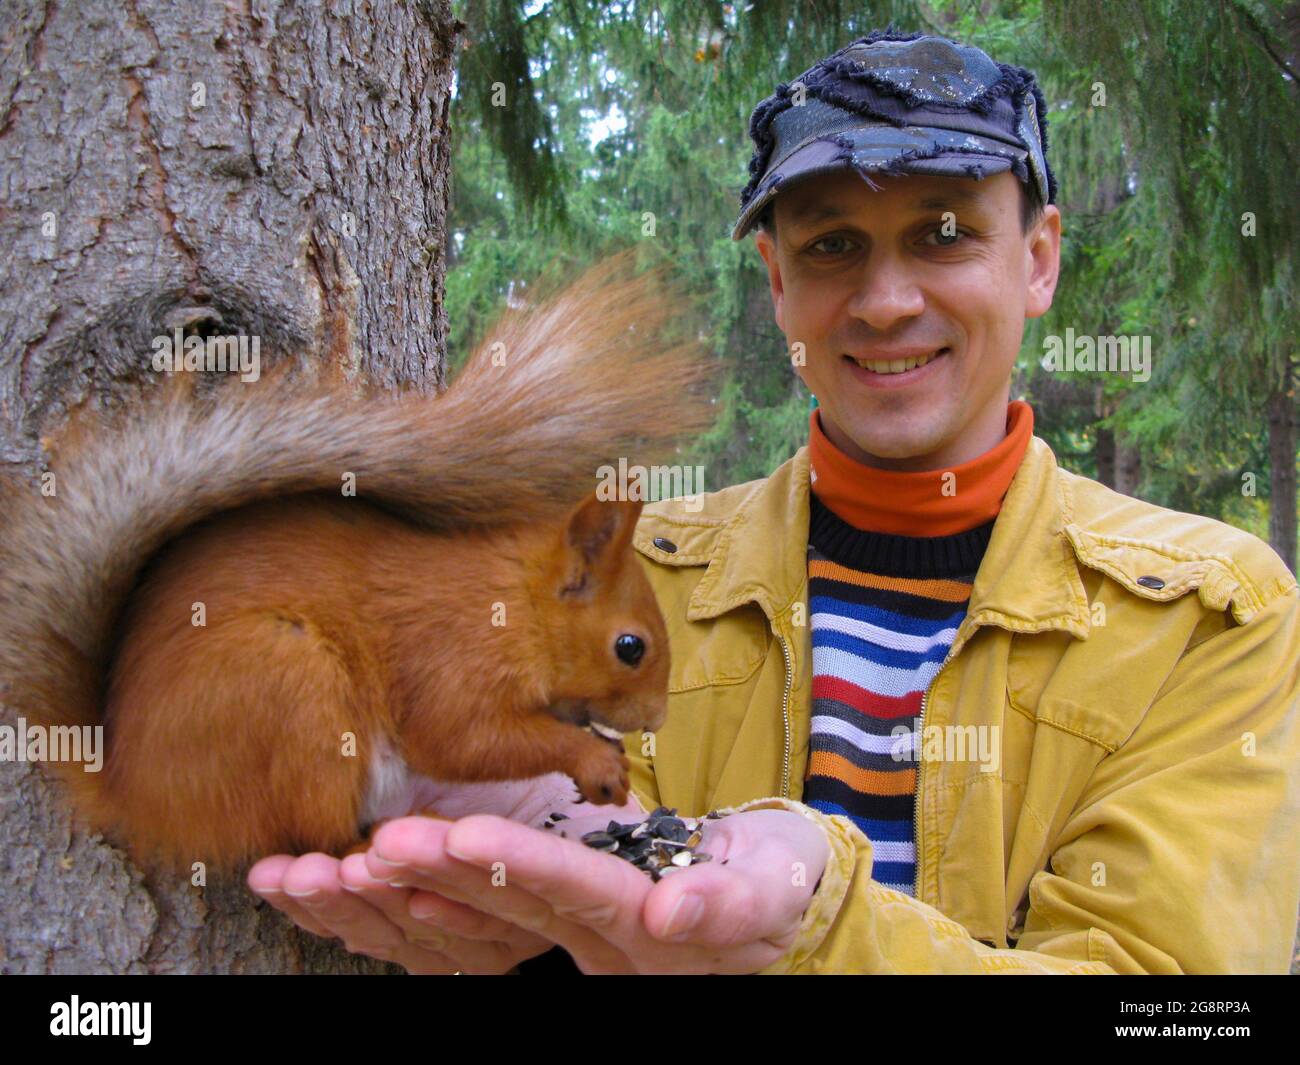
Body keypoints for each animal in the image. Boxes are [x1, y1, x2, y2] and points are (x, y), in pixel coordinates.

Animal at [0, 255, 716, 872]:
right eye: (630, 647)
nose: (656, 721)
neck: (516, 602)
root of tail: (134, 792)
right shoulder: (453, 660)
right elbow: (462, 740)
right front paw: (592, 760)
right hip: (292, 690)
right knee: (316, 840)